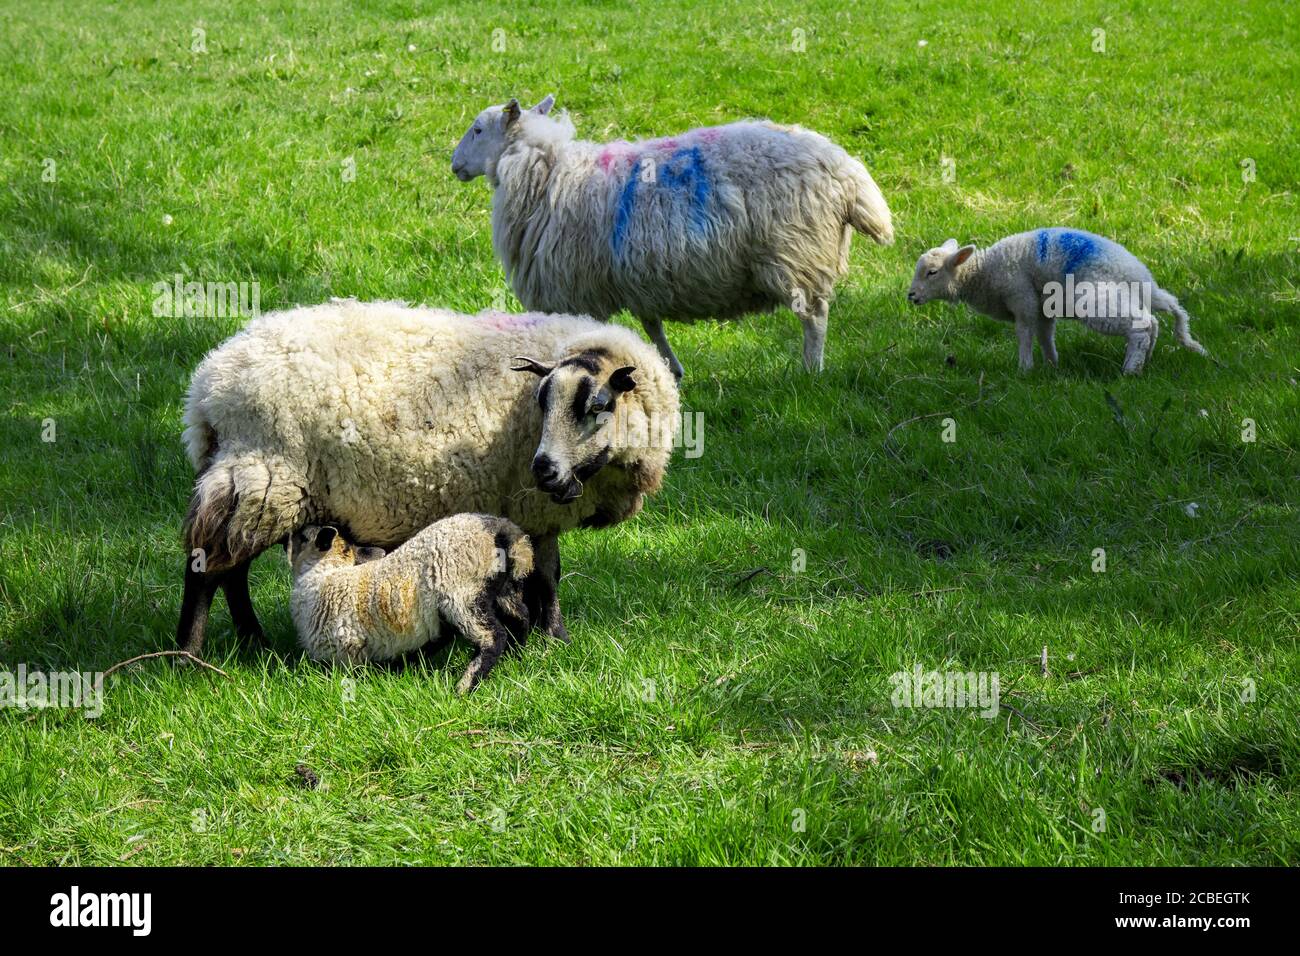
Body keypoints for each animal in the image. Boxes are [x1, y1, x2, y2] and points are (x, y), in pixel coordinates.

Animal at [177, 298, 680, 658]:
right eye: (541, 401)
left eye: (599, 405)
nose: (543, 469)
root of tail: (206, 389)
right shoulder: (534, 510)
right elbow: (547, 574)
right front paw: (556, 638)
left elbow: (540, 573)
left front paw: (544, 634)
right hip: (262, 478)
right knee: (206, 568)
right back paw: (189, 655)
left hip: (256, 485)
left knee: (231, 569)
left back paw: (252, 641)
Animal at [289, 515, 534, 693]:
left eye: (303, 537)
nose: (285, 541)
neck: (324, 575)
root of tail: (498, 529)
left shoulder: (344, 649)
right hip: (503, 589)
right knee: (521, 615)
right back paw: (516, 655)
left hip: (461, 593)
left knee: (492, 636)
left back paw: (464, 686)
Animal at [450, 95, 894, 378]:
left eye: (477, 129)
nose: (453, 164)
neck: (546, 170)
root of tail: (848, 172)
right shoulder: (634, 277)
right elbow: (652, 327)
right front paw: (671, 369)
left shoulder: (576, 287)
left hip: (796, 253)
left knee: (814, 318)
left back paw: (810, 371)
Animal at [907, 230, 1208, 375]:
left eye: (932, 272)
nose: (911, 296)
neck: (982, 271)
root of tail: (1144, 280)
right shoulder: (1042, 307)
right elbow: (1045, 335)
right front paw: (1053, 365)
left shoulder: (1022, 299)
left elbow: (1025, 334)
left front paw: (1025, 369)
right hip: (1130, 297)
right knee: (1154, 323)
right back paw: (1145, 361)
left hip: (1096, 297)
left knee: (1142, 326)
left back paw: (1130, 370)